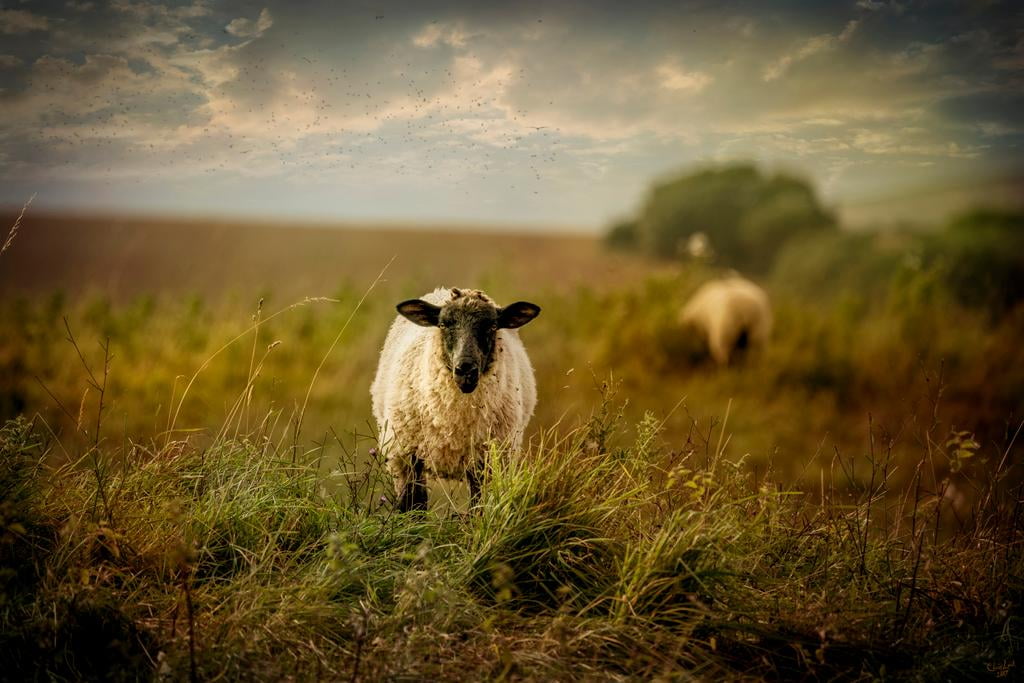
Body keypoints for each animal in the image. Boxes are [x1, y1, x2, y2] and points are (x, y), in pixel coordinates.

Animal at [371, 287, 541, 512]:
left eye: (493, 326)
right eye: (443, 324)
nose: (465, 370)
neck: (453, 425)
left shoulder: (486, 461)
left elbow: (479, 507)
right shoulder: (405, 456)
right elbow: (413, 507)